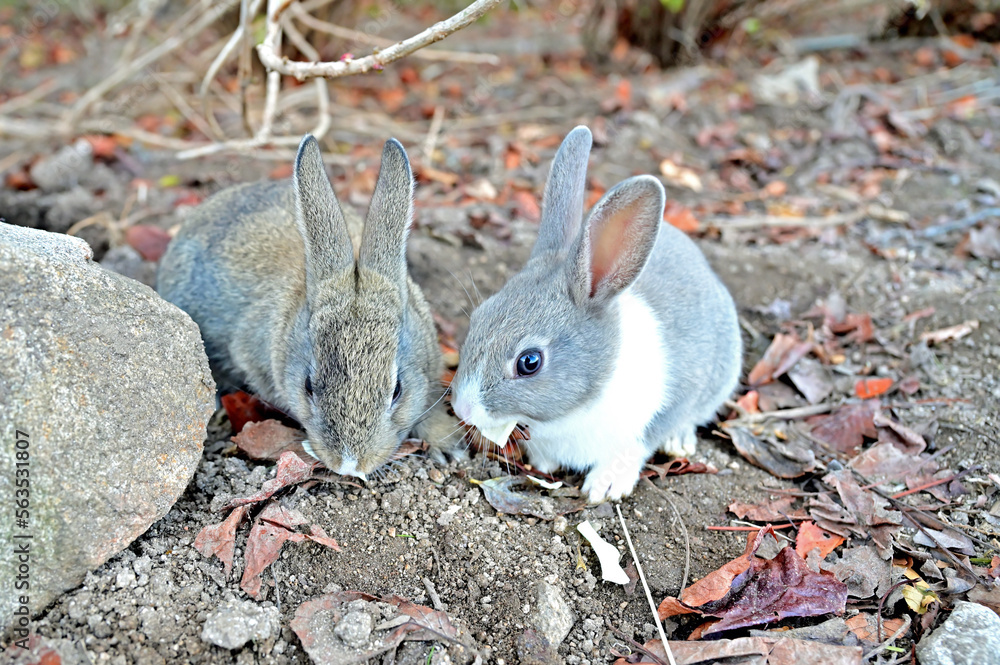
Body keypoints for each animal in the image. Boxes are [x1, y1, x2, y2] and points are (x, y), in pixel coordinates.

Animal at [450, 126, 742, 503]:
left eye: (529, 362)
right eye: (478, 318)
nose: (462, 408)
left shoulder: (670, 403)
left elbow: (639, 443)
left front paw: (605, 486)